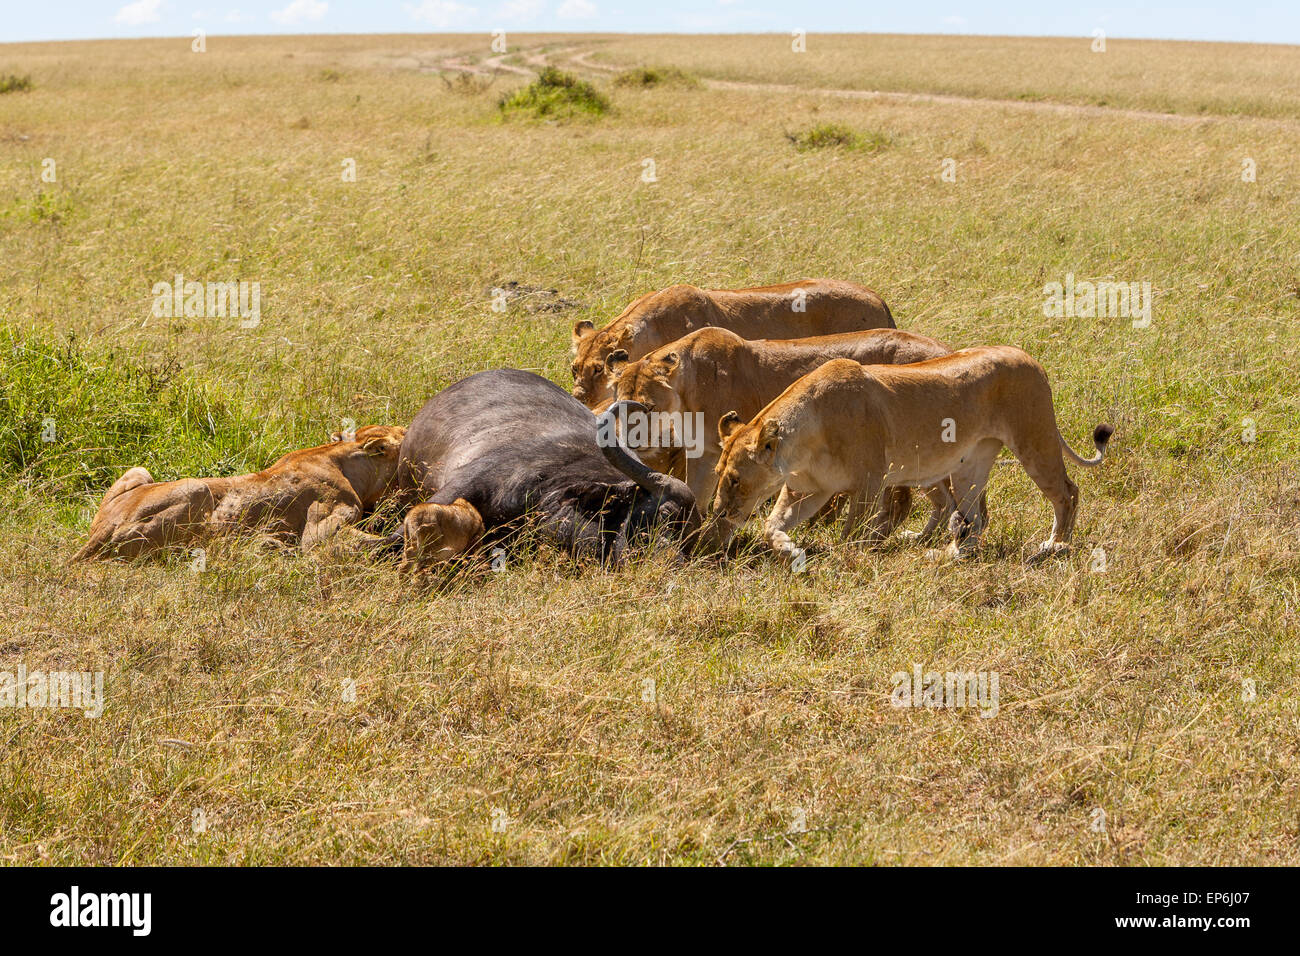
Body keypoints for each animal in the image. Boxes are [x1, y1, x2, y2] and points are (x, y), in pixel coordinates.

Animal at [710, 348, 1112, 564]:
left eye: (735, 479)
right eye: (717, 472)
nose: (717, 512)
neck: (801, 447)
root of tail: (1029, 356)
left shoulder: (869, 482)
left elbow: (852, 532)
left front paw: (847, 559)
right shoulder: (807, 489)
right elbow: (771, 525)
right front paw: (790, 551)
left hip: (1035, 440)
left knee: (1067, 492)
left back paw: (1055, 545)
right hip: (971, 464)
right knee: (973, 519)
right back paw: (947, 555)